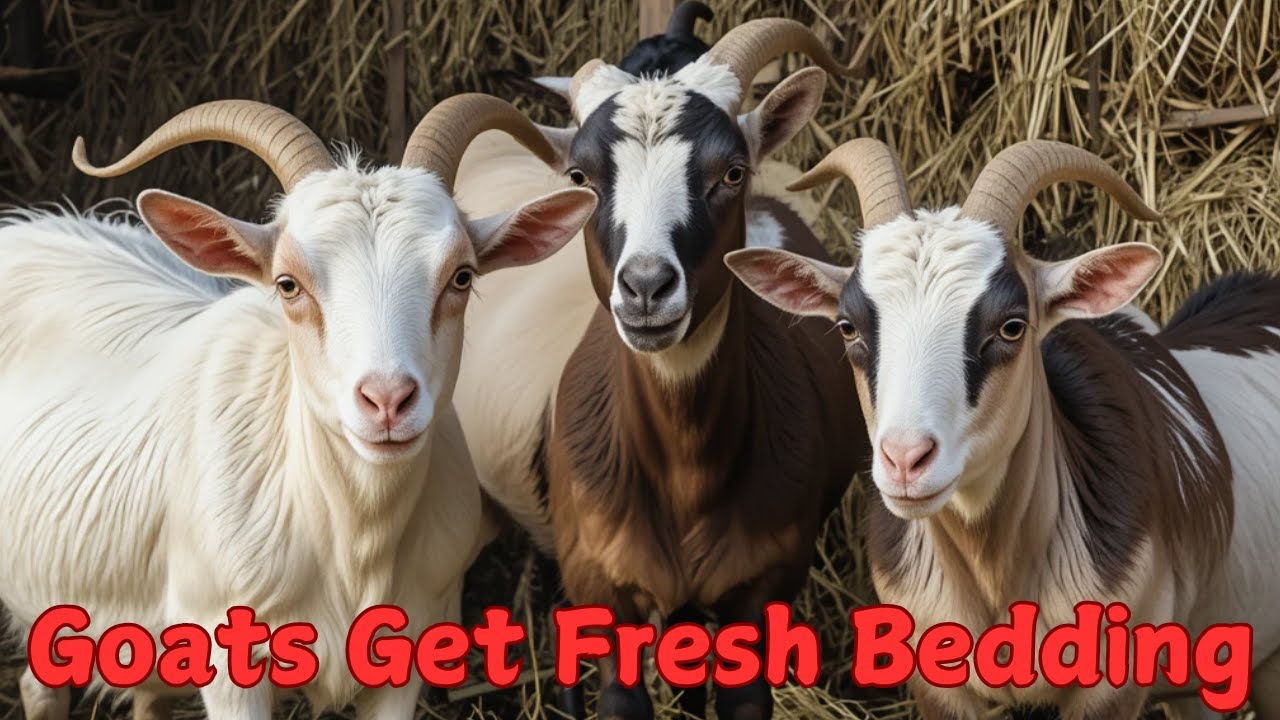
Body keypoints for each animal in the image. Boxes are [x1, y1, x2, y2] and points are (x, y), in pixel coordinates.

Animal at [0, 96, 595, 720]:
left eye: (461, 276)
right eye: (288, 284)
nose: (387, 400)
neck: (351, 540)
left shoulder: (404, 659)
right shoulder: (228, 660)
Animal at [454, 19, 869, 720]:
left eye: (733, 170)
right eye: (581, 175)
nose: (647, 288)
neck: (685, 472)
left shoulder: (762, 589)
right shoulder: (602, 587)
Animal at [727, 139, 1280, 720]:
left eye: (1012, 326)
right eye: (847, 326)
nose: (906, 460)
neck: (994, 574)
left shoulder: (1112, 689)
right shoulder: (938, 687)